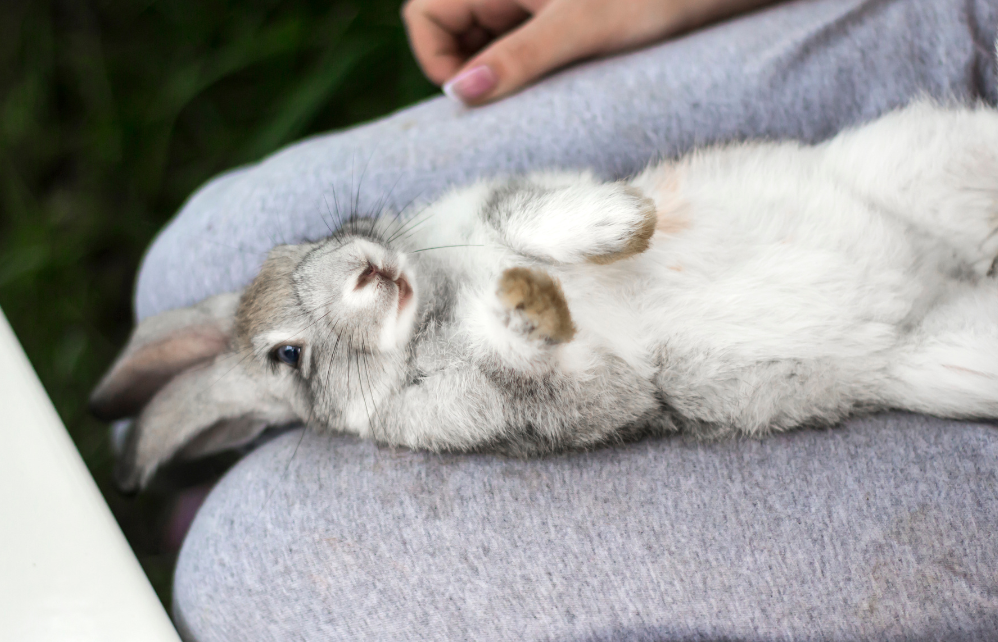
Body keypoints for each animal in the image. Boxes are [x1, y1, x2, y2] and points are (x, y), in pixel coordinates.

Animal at [91, 100, 998, 492]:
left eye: (312, 241)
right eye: (287, 355)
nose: (366, 271)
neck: (433, 309)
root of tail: (927, 276)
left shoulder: (506, 201)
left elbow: (528, 218)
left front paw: (624, 222)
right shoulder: (536, 403)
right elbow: (538, 352)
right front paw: (533, 300)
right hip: (944, 354)